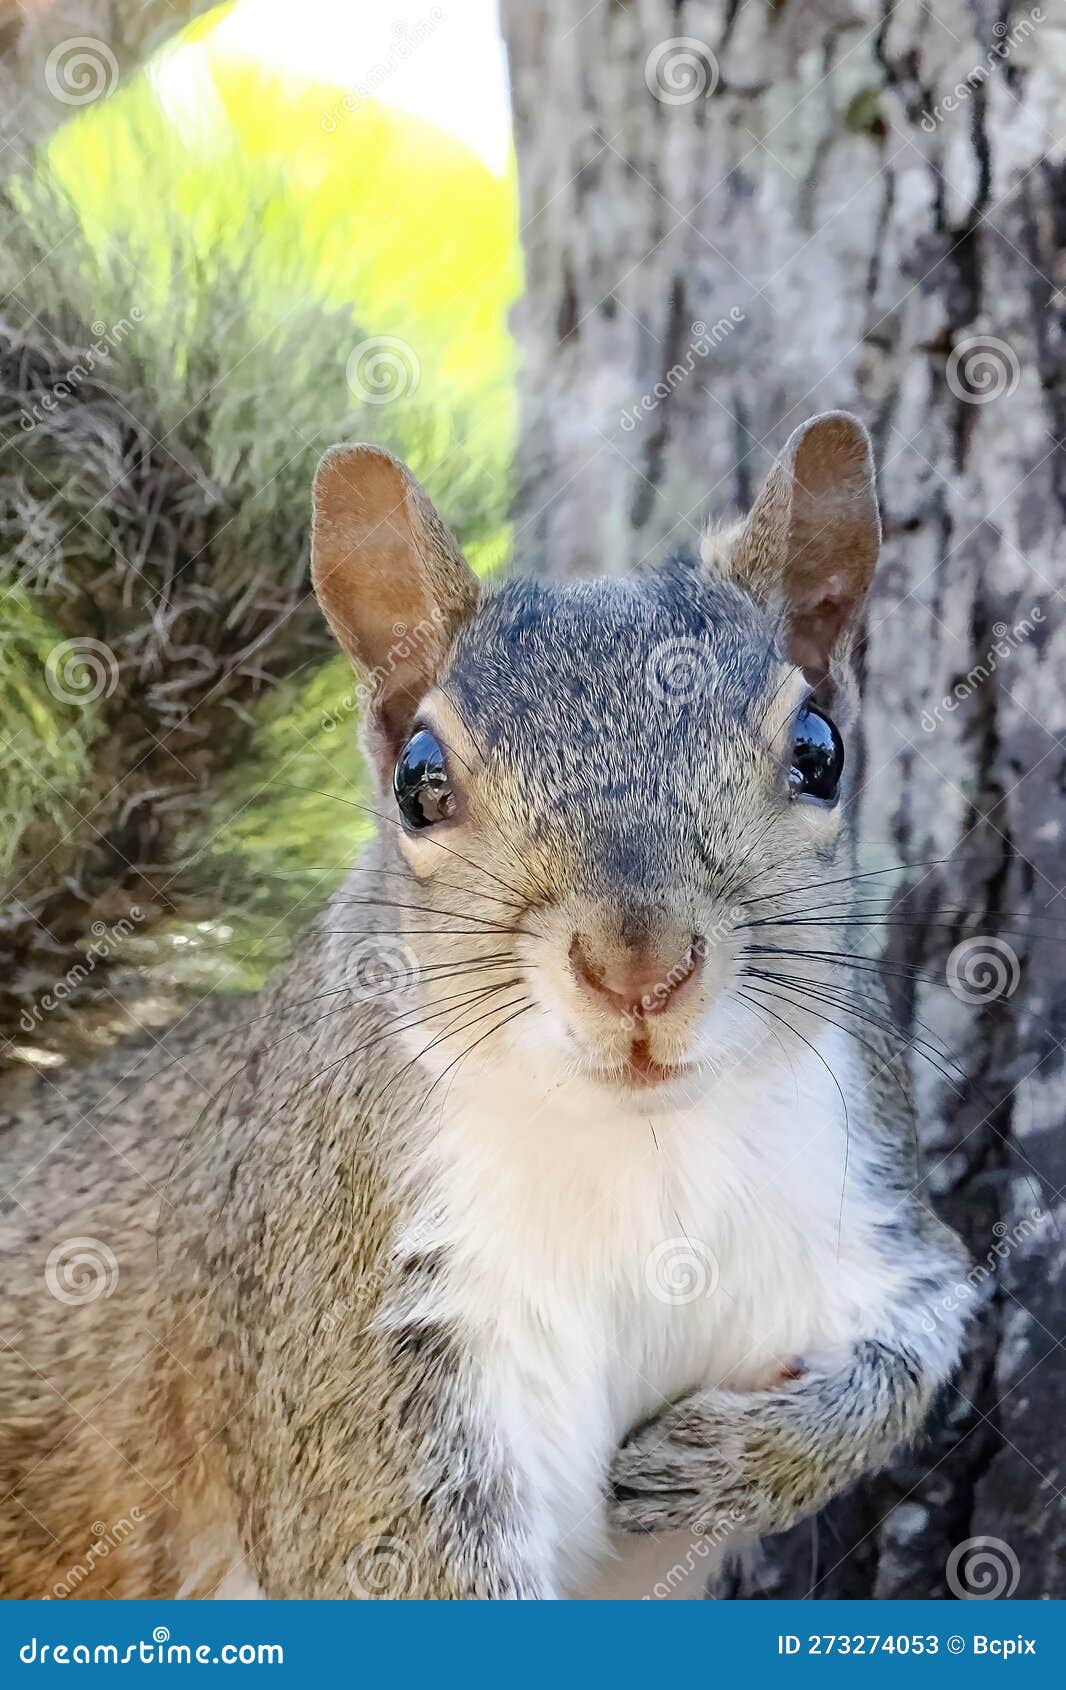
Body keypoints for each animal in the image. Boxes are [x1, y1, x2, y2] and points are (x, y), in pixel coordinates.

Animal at [0, 412, 970, 1599]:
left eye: (819, 752)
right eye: (420, 780)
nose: (638, 965)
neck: (640, 1144)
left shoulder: (868, 1215)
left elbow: (912, 1351)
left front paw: (722, 1464)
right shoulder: (360, 1325)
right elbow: (385, 1554)